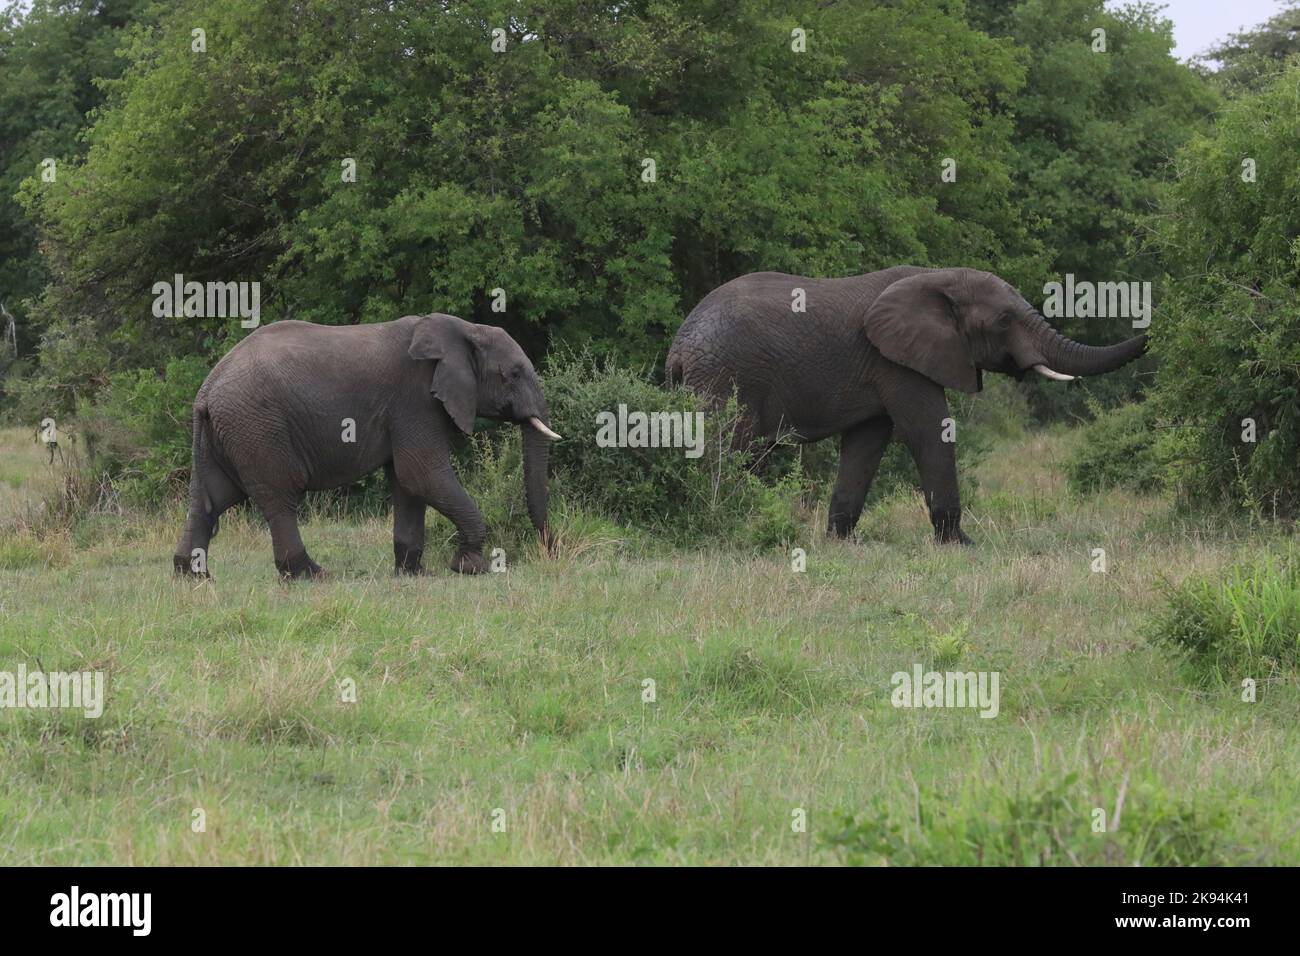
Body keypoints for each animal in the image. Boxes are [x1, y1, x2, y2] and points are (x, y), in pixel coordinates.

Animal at [172, 313, 561, 579]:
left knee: (211, 500)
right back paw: (311, 575)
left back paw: (193, 576)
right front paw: (471, 568)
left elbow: (408, 483)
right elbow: (422, 474)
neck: (462, 328)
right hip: (258, 426)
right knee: (279, 497)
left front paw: (412, 573)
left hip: (225, 431)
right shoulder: (415, 400)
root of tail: (206, 390)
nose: (550, 549)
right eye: (513, 375)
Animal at [666, 266, 1147, 545]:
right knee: (726, 450)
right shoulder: (896, 360)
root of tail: (679, 345)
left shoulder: (883, 365)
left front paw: (841, 543)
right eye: (1005, 321)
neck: (938, 279)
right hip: (725, 377)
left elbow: (867, 442)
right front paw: (960, 544)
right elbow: (928, 428)